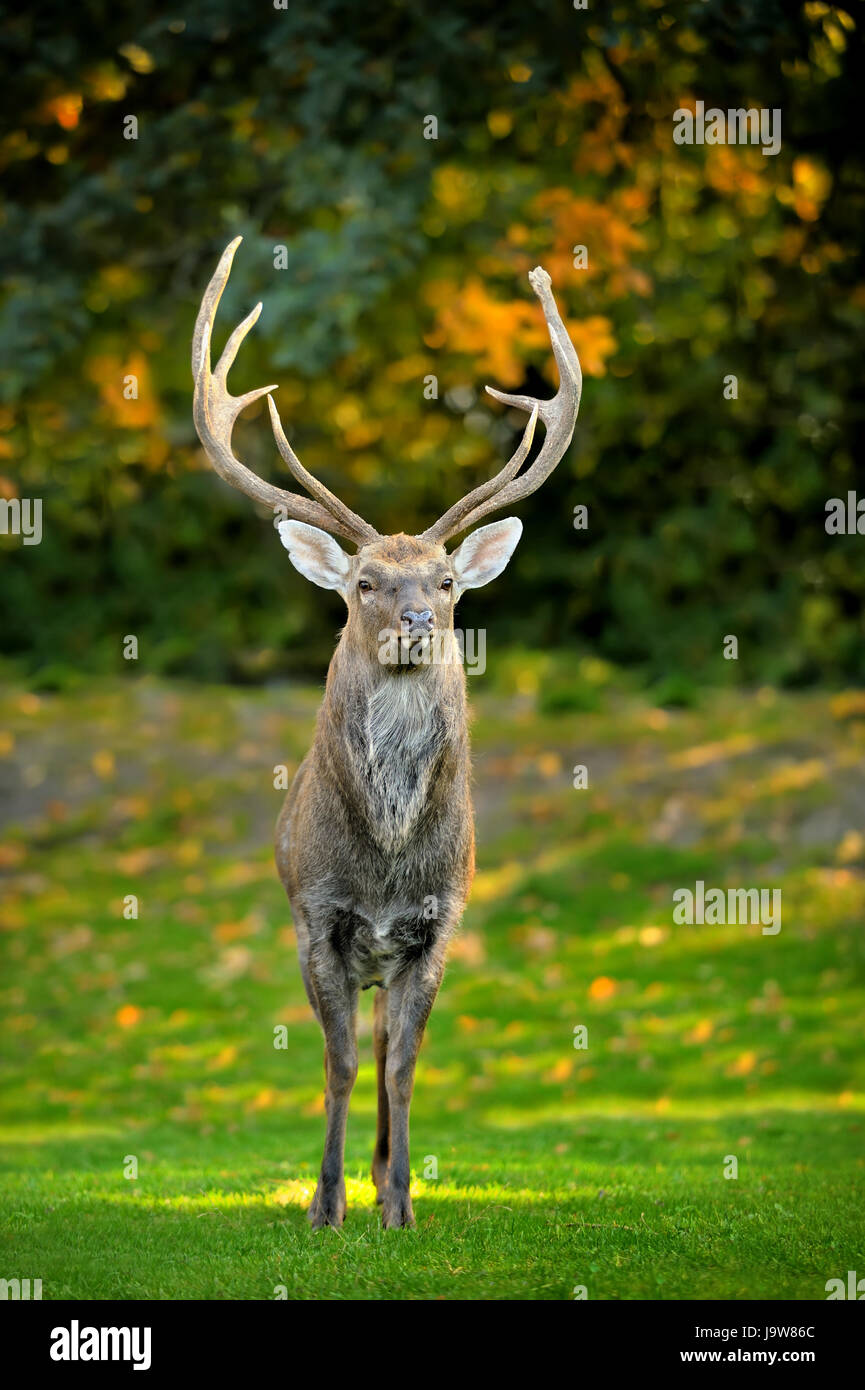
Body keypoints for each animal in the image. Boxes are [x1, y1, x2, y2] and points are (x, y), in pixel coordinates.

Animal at [192, 238, 582, 1229]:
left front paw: (399, 1204)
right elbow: (332, 1063)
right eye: (365, 581)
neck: (385, 861)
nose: (415, 619)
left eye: (445, 580)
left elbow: (401, 1066)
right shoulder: (316, 916)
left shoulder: (438, 924)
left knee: (379, 1049)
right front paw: (325, 1205)